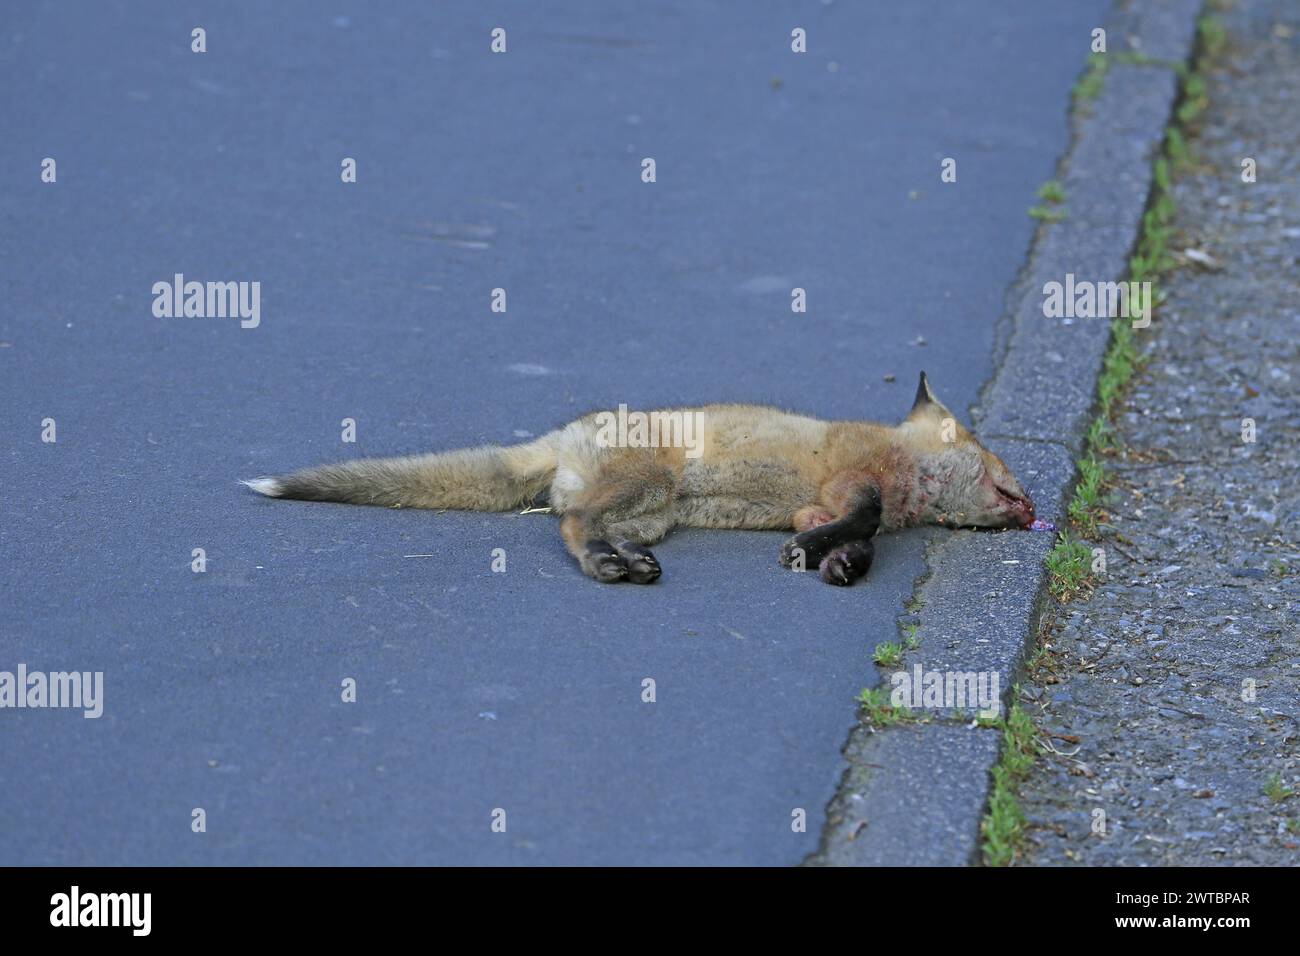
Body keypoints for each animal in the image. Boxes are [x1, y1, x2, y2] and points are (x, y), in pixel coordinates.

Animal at [243, 372, 1036, 586]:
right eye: (1003, 465)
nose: (1035, 510)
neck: (906, 469)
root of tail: (564, 434)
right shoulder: (850, 479)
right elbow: (865, 517)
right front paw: (826, 555)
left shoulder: (819, 504)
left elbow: (858, 536)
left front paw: (836, 561)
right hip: (649, 484)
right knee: (570, 525)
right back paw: (605, 565)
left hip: (654, 512)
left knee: (586, 524)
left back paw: (624, 559)